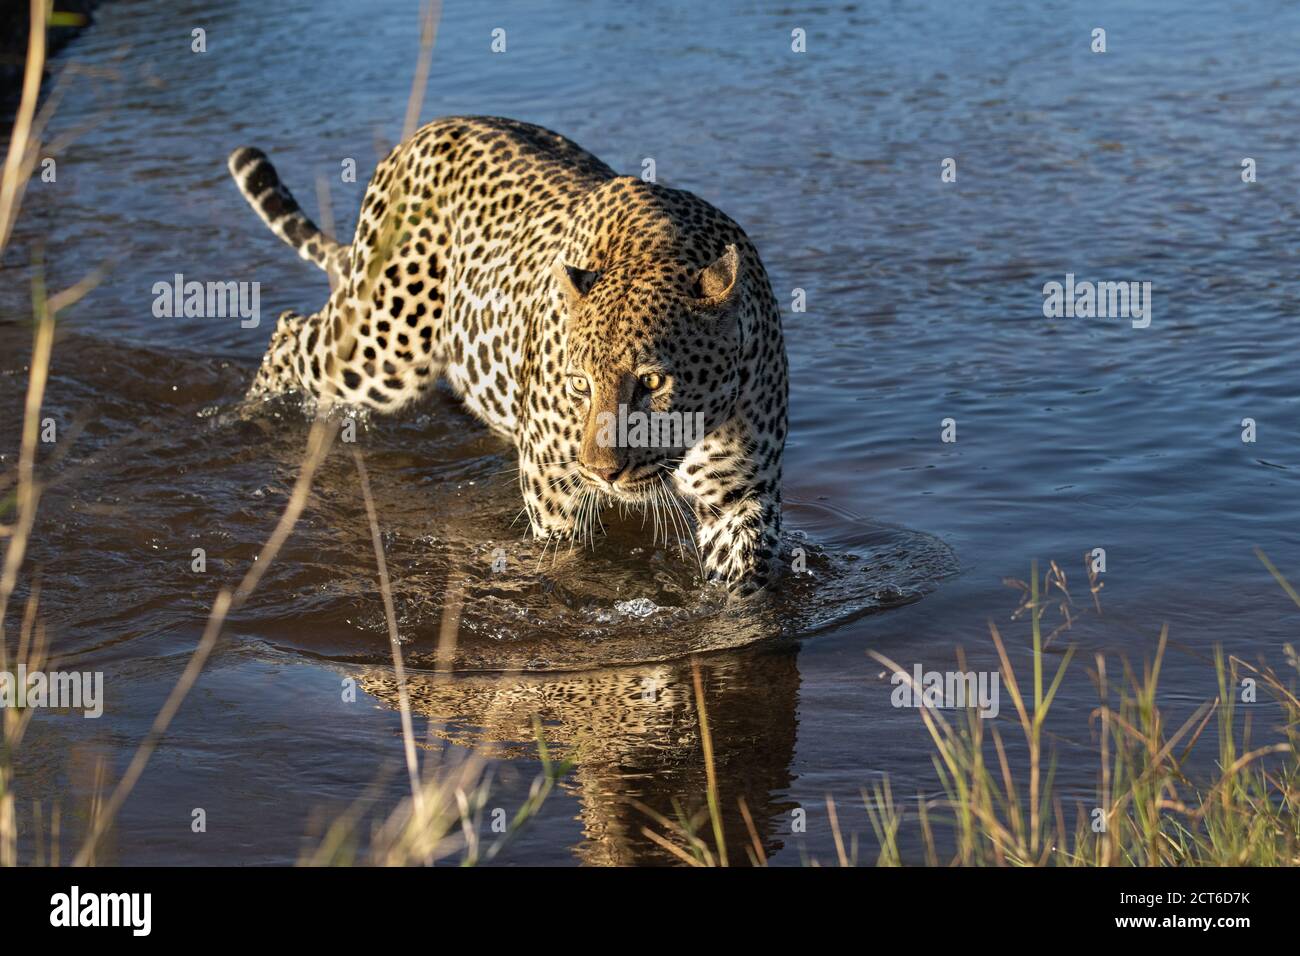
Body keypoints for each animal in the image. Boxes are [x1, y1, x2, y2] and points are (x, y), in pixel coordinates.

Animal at [228, 116, 788, 594]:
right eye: (580, 384)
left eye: (652, 382)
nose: (602, 473)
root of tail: (426, 133)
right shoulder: (552, 486)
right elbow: (570, 561)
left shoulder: (740, 498)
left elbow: (741, 591)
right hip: (382, 345)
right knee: (291, 332)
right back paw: (248, 415)